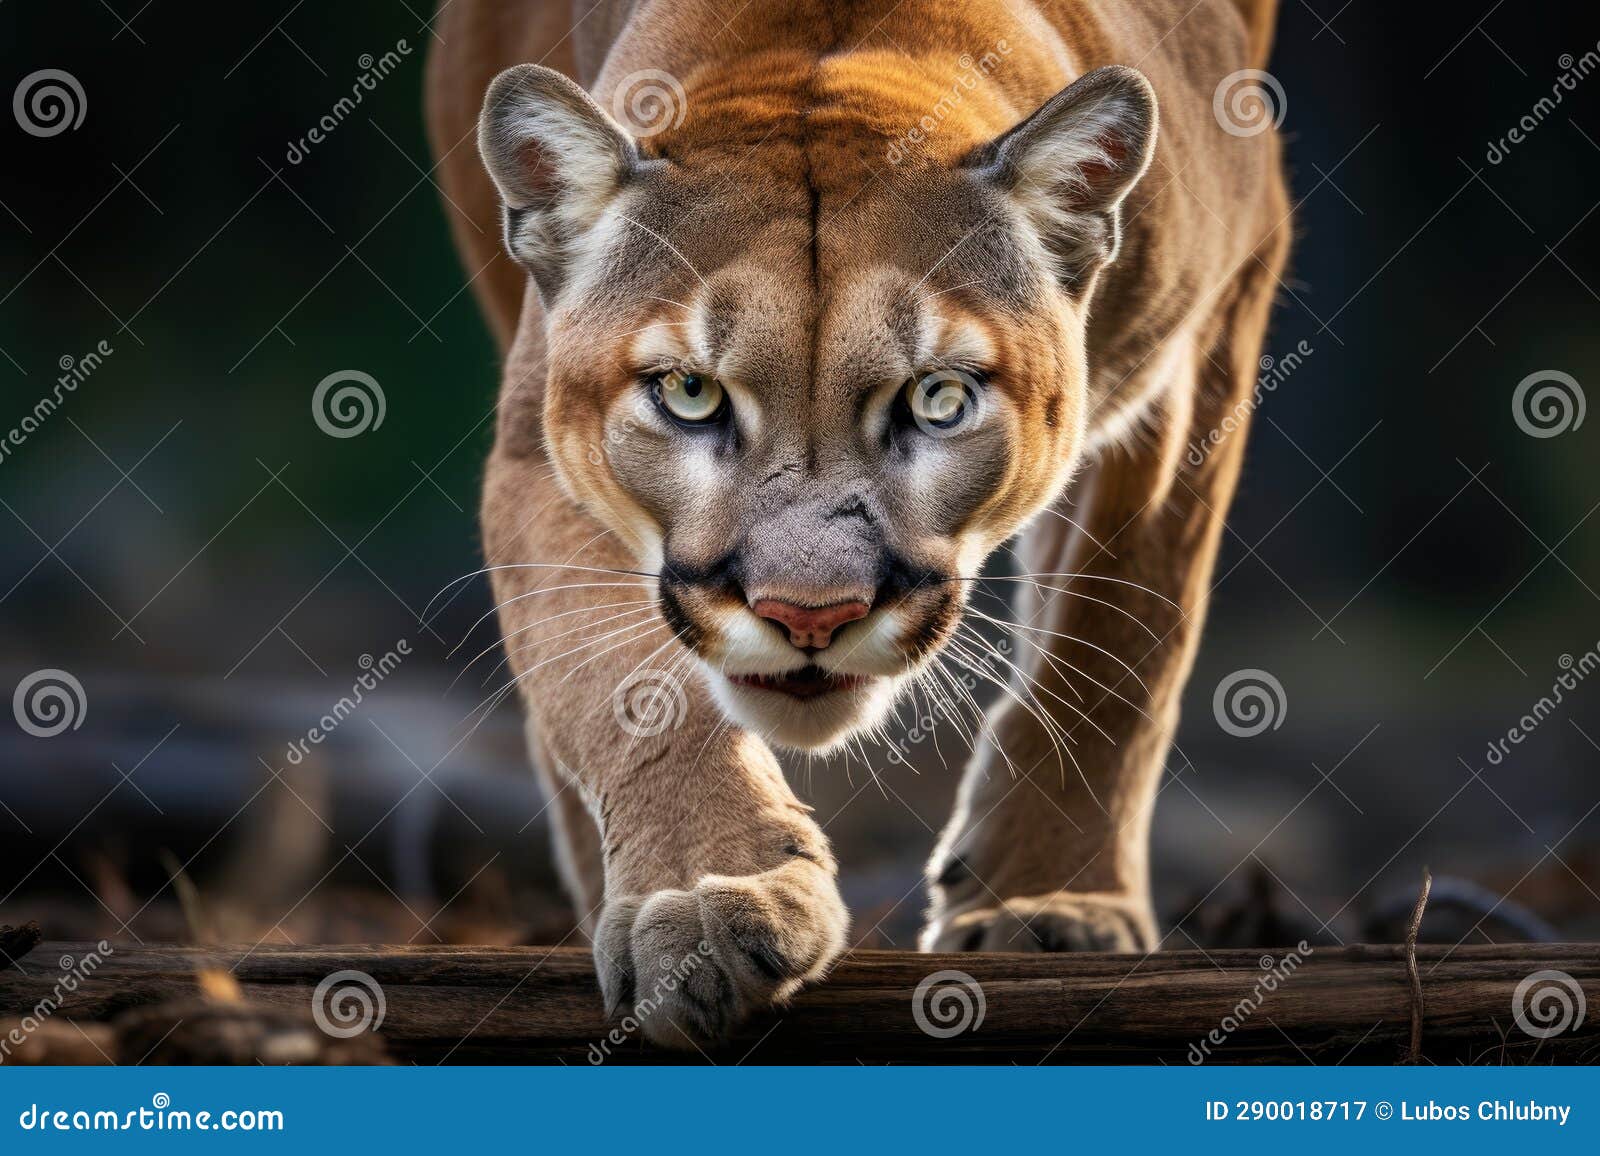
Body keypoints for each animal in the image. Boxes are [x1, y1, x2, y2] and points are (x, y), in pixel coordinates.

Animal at [425, 0, 1289, 1046]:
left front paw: (1053, 903)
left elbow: (1126, 636)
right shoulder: (535, 446)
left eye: (938, 399)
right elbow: (623, 686)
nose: (811, 616)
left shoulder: (1211, 324)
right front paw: (710, 896)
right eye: (689, 392)